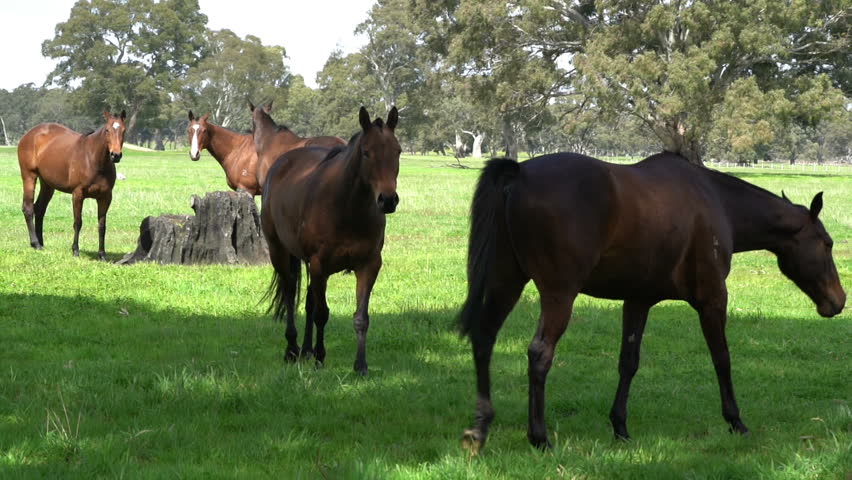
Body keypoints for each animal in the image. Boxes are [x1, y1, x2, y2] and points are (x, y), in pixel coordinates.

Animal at [17, 111, 127, 260]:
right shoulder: (78, 194)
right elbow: (78, 222)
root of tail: (28, 135)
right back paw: (35, 243)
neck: (93, 159)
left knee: (39, 209)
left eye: (124, 130)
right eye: (107, 130)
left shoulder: (105, 197)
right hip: (29, 176)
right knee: (28, 208)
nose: (115, 155)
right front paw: (75, 250)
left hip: (47, 184)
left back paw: (41, 242)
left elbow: (102, 225)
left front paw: (102, 255)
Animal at [261, 106, 400, 375]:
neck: (347, 206)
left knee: (307, 299)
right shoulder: (319, 264)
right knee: (290, 292)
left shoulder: (369, 265)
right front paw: (320, 357)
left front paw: (360, 365)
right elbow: (321, 314)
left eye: (397, 151)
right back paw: (292, 349)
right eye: (366, 152)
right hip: (279, 251)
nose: (388, 200)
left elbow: (361, 317)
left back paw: (305, 349)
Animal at [459, 152, 846, 453]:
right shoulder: (712, 298)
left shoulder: (638, 300)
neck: (716, 202)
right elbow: (722, 359)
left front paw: (620, 427)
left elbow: (628, 363)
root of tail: (519, 173)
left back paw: (480, 428)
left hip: (506, 282)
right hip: (559, 294)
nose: (838, 301)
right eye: (827, 243)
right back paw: (538, 438)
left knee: (484, 338)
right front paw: (736, 421)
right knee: (539, 354)